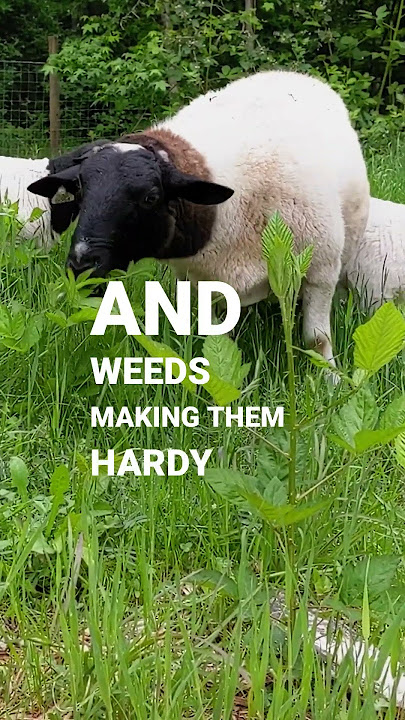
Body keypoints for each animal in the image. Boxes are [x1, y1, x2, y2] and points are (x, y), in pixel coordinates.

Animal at [27, 70, 370, 364]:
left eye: (151, 198)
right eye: (80, 192)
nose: (81, 264)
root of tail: (291, 73)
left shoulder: (320, 269)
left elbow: (317, 341)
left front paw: (330, 382)